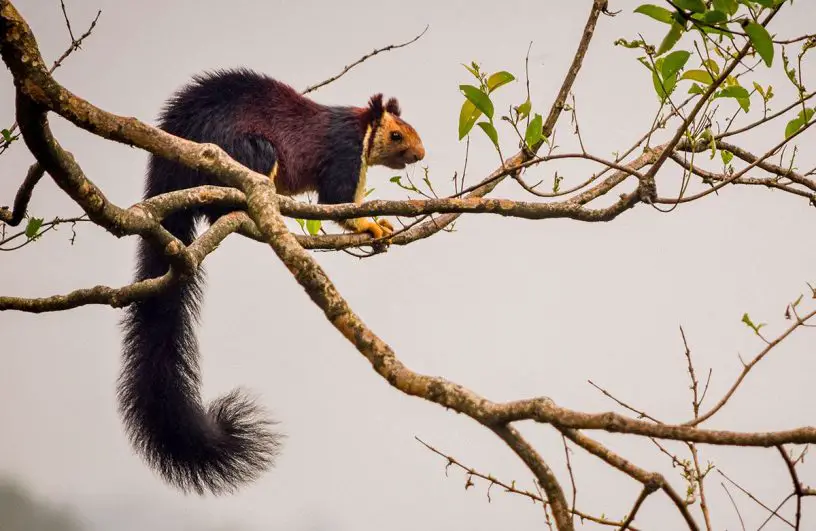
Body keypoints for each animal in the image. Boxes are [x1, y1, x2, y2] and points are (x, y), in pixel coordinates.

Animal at [117, 68, 425, 495]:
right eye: (396, 135)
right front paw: (371, 225)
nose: (420, 154)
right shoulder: (344, 153)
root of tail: (166, 176)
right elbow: (336, 202)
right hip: (247, 152)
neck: (362, 127)